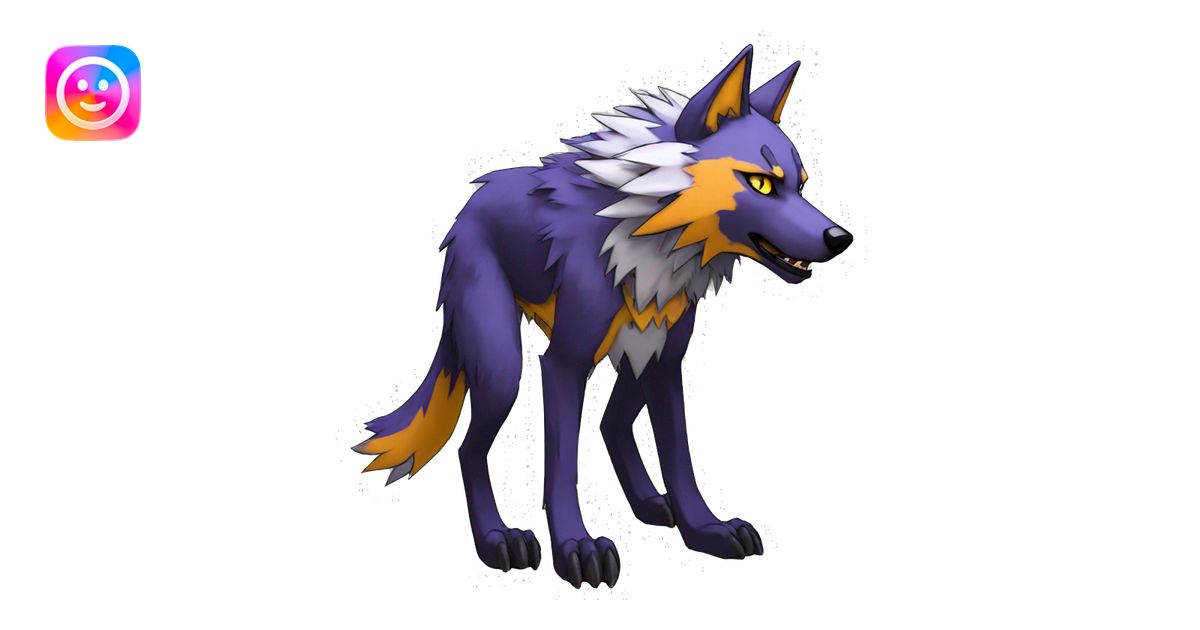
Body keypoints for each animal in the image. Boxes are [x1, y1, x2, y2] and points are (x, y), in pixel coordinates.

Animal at [354, 45, 853, 589]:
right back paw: (497, 539)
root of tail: (469, 205)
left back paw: (651, 504)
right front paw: (576, 547)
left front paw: (704, 531)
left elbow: (679, 459)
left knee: (610, 424)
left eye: (802, 185)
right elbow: (562, 466)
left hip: (638, 353)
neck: (650, 237)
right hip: (504, 369)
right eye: (761, 182)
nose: (840, 238)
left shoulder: (664, 361)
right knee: (470, 449)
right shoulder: (564, 364)